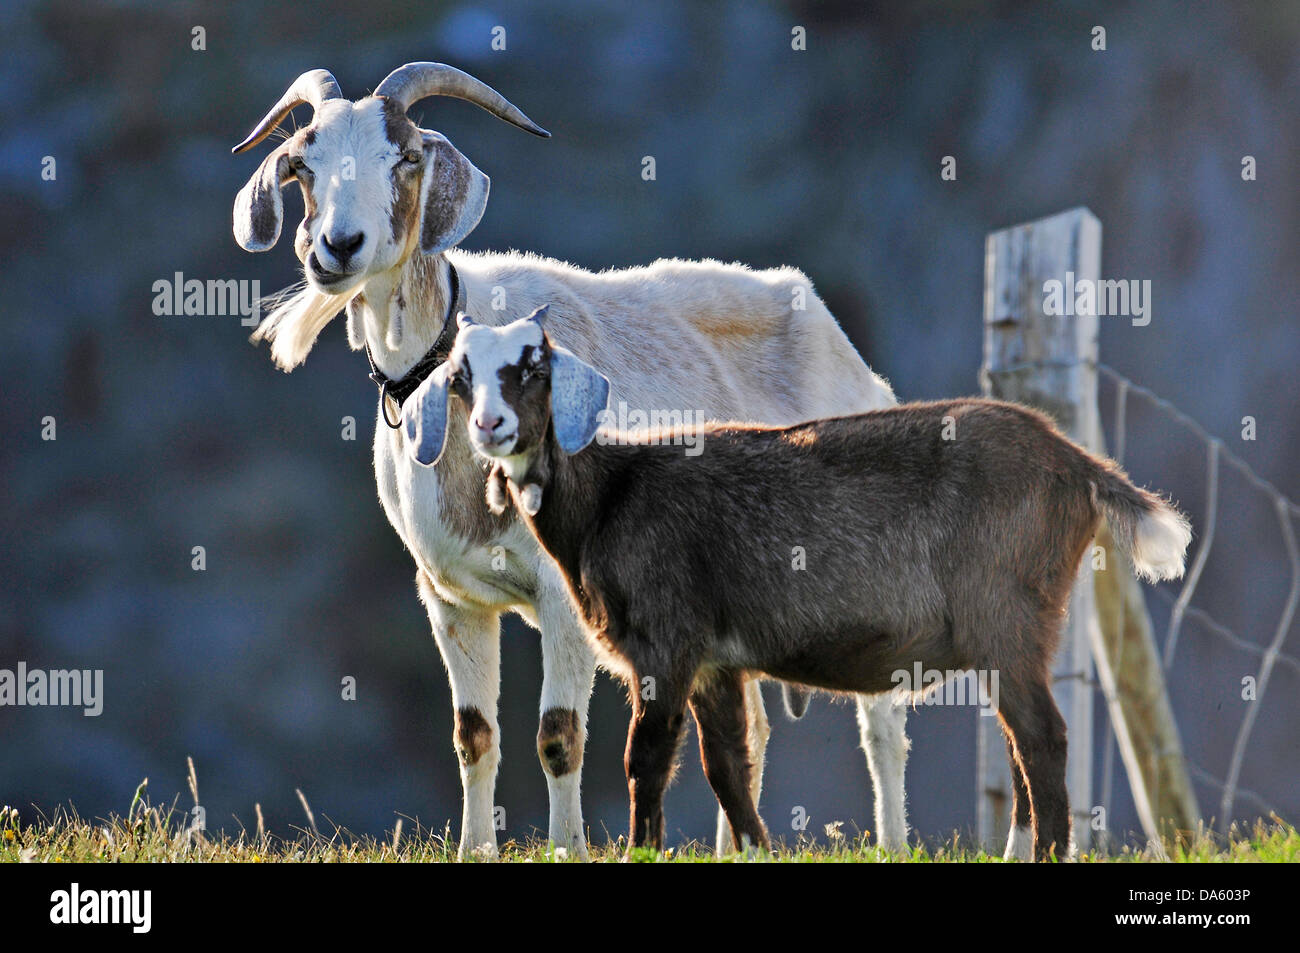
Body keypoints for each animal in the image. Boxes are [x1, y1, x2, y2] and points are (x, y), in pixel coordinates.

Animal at [232, 64, 910, 859]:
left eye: (405, 158)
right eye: (302, 163)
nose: (338, 247)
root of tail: (848, 356)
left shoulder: (565, 597)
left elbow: (559, 735)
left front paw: (568, 847)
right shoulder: (450, 597)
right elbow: (474, 736)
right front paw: (473, 848)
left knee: (882, 723)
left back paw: (893, 842)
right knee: (750, 728)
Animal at [406, 308, 1193, 860]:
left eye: (533, 367)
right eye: (461, 377)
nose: (491, 426)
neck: (613, 495)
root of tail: (1078, 465)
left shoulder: (667, 643)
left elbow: (646, 761)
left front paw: (642, 849)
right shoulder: (716, 661)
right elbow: (727, 767)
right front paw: (756, 849)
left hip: (1009, 619)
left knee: (1044, 742)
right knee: (1021, 750)